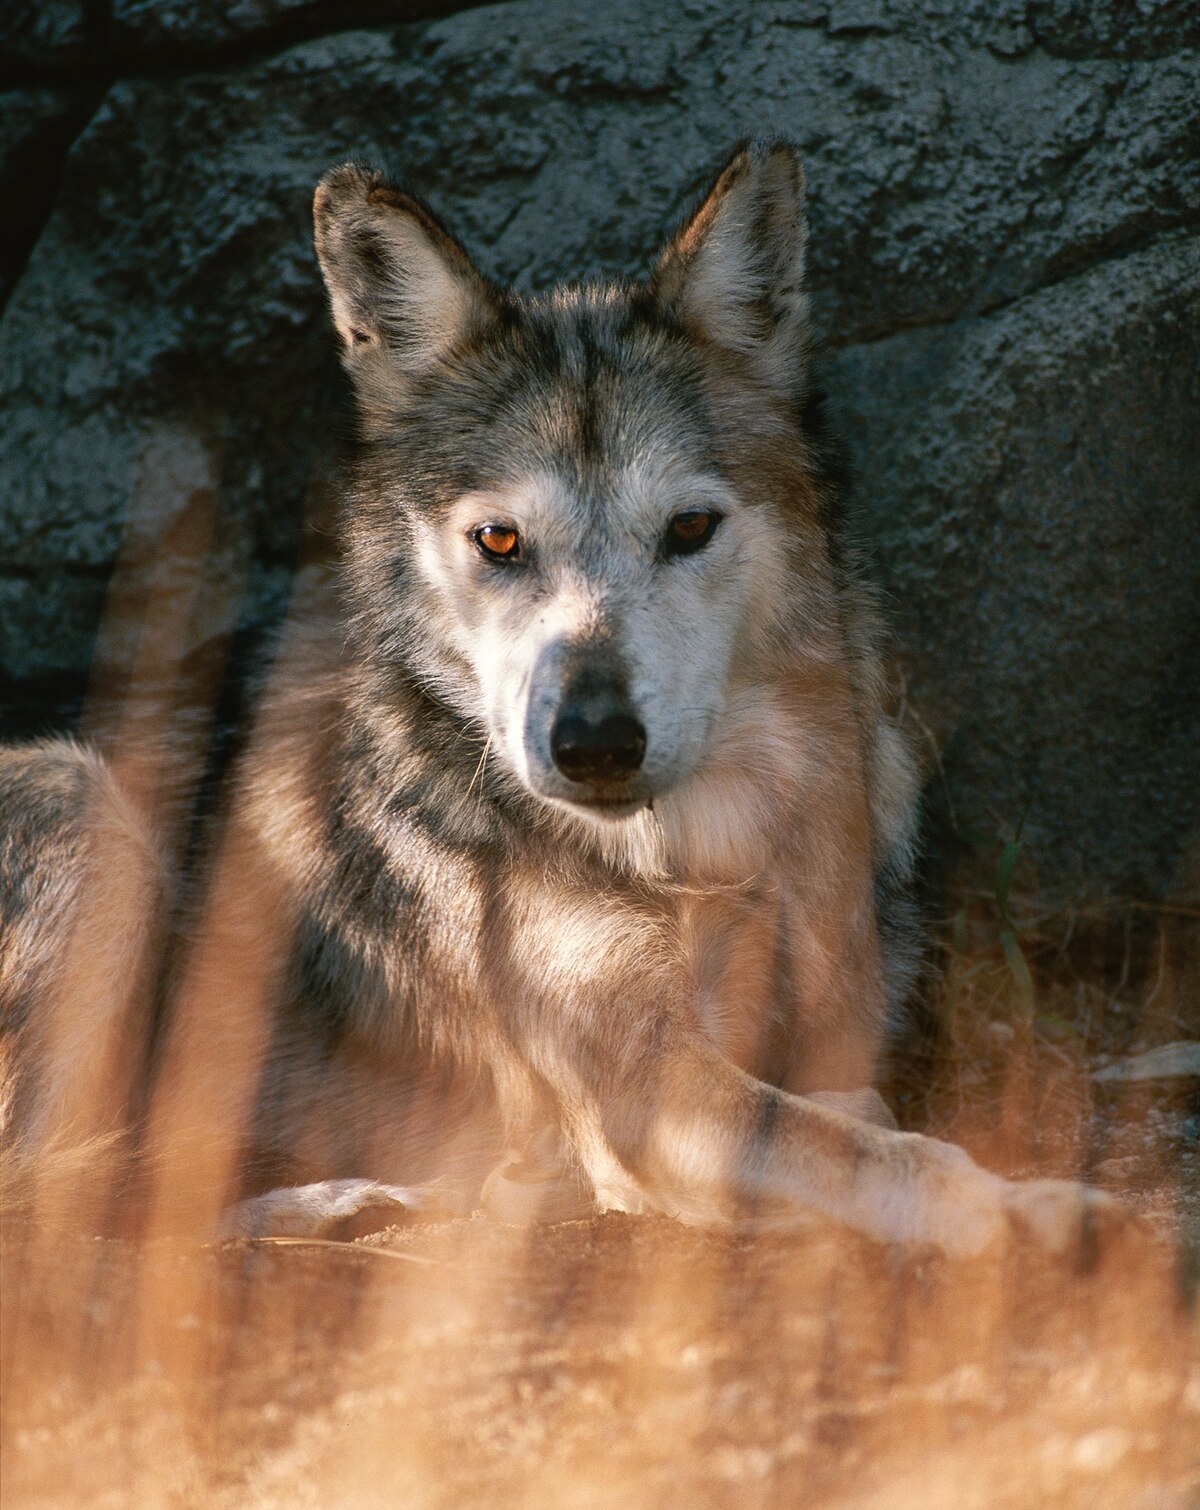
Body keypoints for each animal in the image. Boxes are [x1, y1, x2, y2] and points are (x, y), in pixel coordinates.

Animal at [0, 138, 1114, 1254]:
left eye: (689, 528)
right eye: (499, 539)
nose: (594, 742)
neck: (703, 858)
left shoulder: (830, 1031)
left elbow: (862, 1116)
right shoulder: (647, 1098)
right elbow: (885, 1157)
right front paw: (1034, 1211)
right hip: (81, 802)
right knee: (62, 1200)